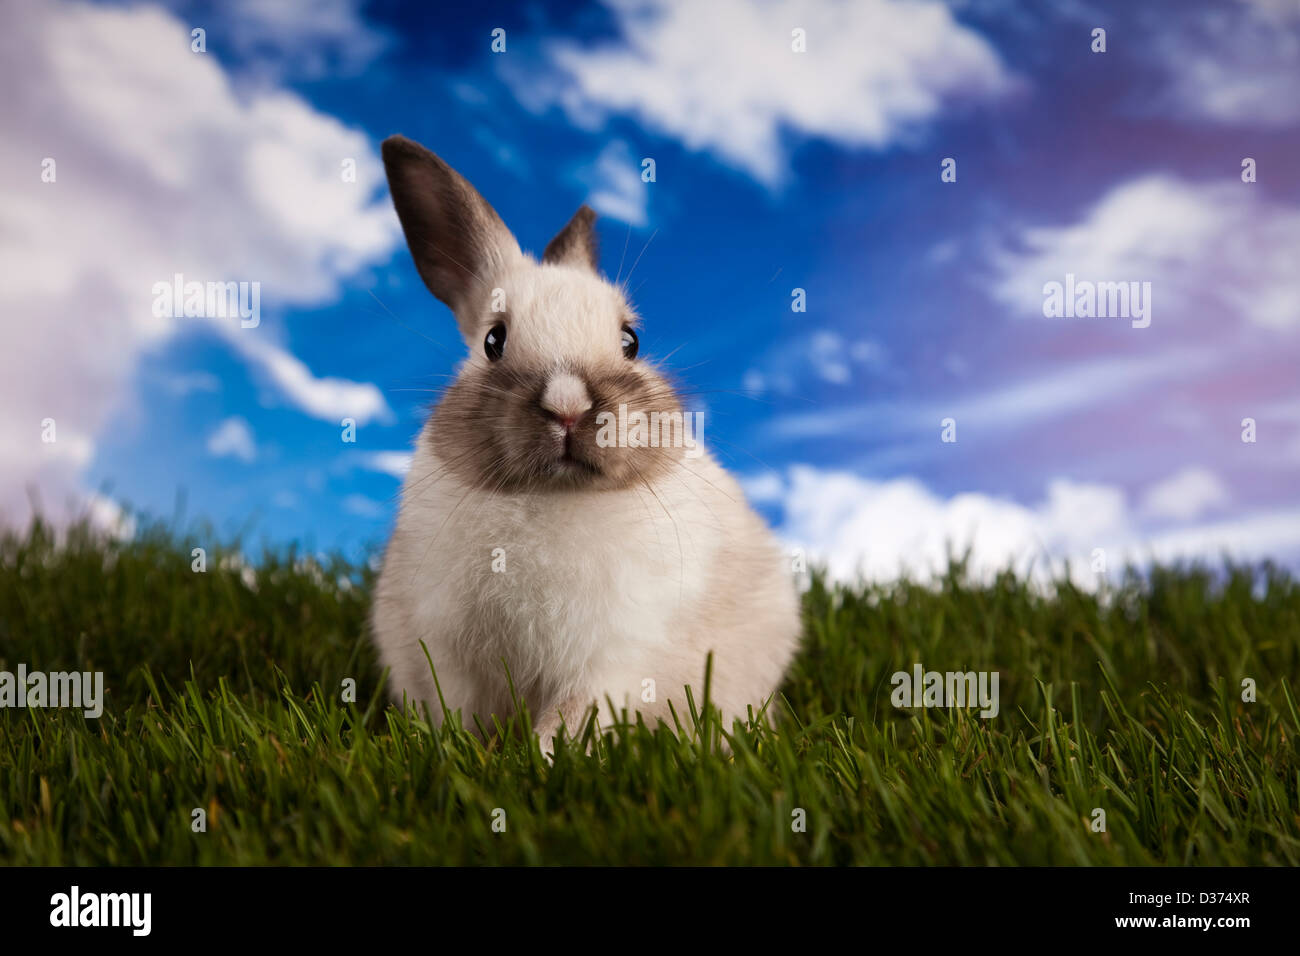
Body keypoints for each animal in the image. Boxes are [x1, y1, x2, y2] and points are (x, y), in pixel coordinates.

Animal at [371, 134, 802, 752]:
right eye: (494, 341)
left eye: (631, 340)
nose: (568, 408)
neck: (553, 496)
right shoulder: (448, 653)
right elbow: (459, 713)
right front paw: (461, 753)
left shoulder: (610, 659)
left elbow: (573, 719)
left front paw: (540, 758)